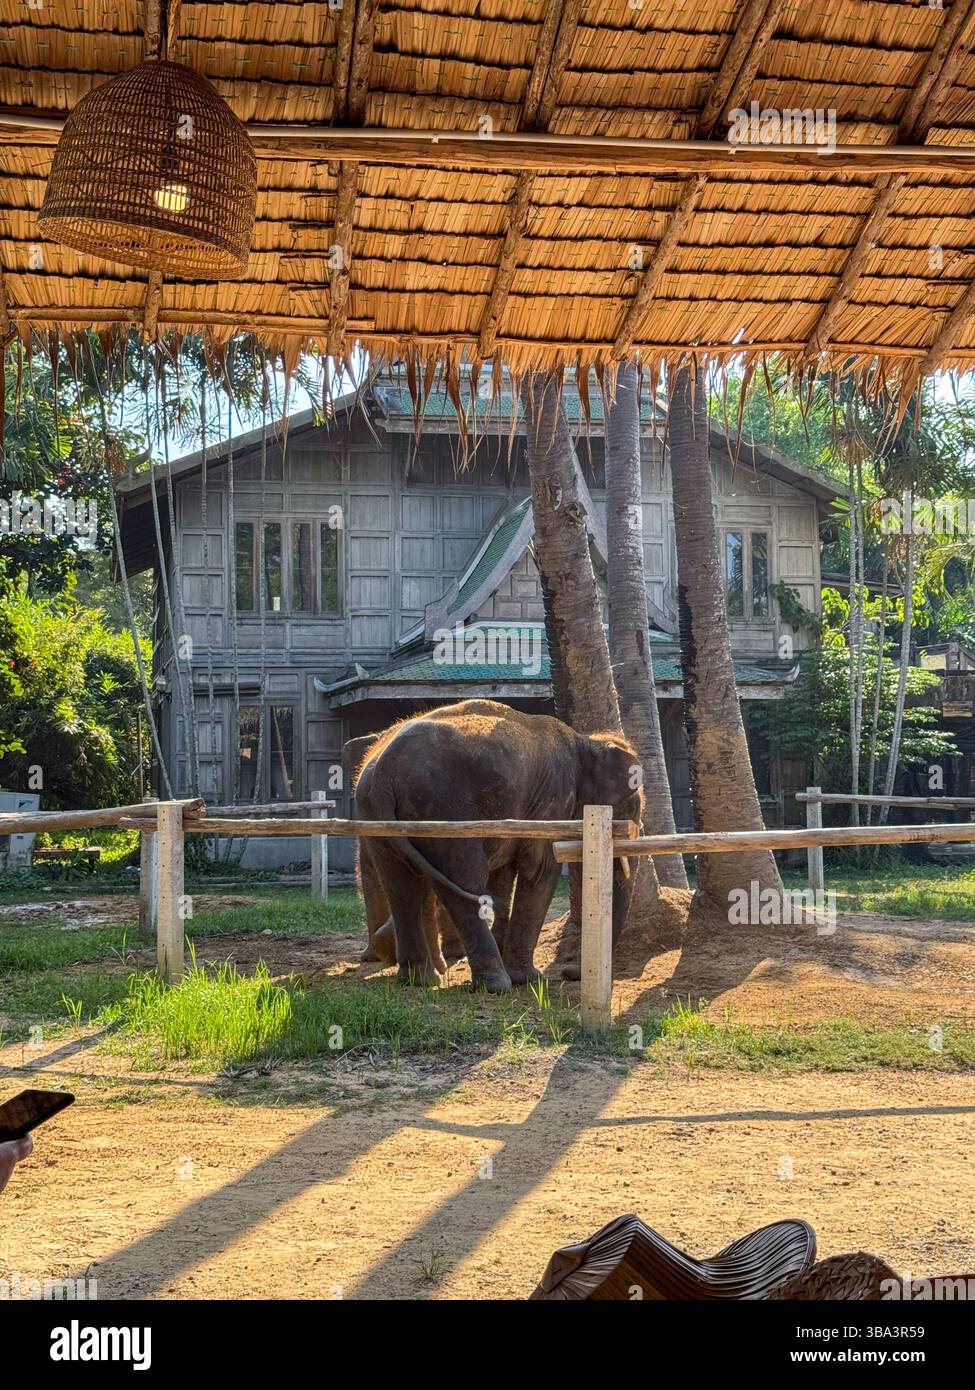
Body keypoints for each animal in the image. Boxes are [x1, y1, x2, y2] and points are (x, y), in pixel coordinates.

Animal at [353, 699, 642, 992]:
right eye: (632, 806)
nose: (568, 973)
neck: (585, 740)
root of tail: (382, 776)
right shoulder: (552, 800)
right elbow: (539, 870)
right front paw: (528, 979)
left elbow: (503, 877)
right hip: (442, 810)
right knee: (464, 883)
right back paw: (495, 984)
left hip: (377, 822)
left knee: (401, 887)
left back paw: (421, 980)